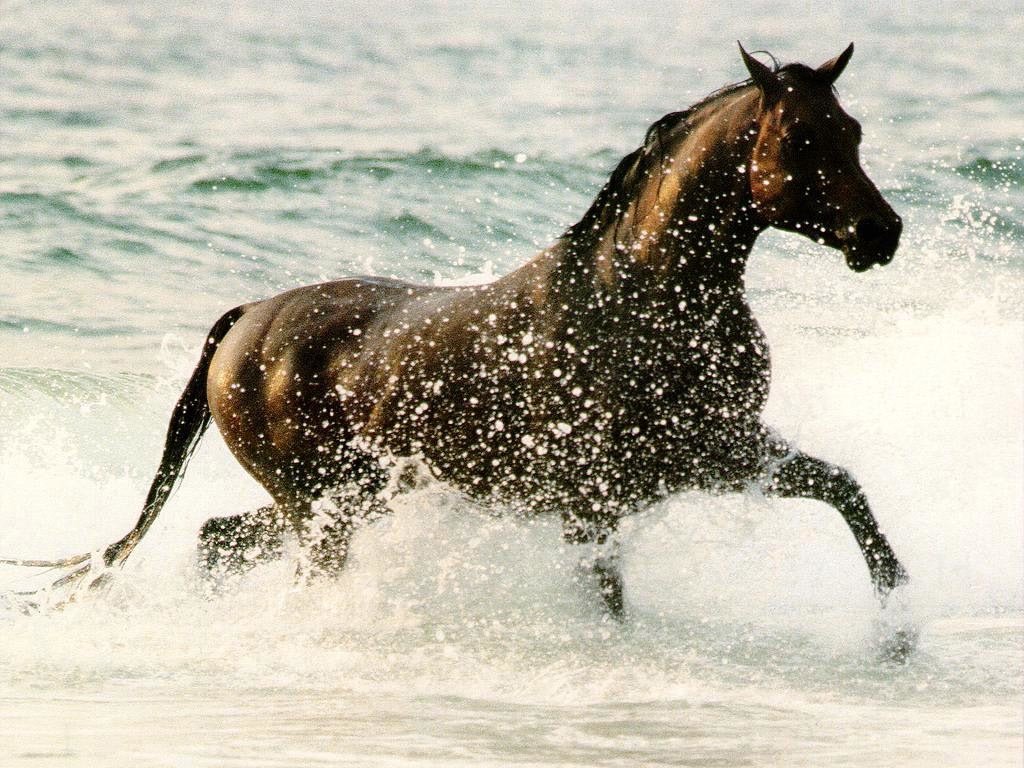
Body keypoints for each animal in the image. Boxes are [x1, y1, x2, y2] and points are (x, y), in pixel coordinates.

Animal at [5, 43, 907, 618]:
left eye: (854, 131)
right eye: (800, 136)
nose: (882, 233)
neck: (639, 301)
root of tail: (243, 323)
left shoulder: (720, 453)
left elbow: (846, 491)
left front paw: (898, 621)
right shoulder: (595, 500)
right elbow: (608, 597)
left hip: (343, 500)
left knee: (217, 539)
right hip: (321, 506)